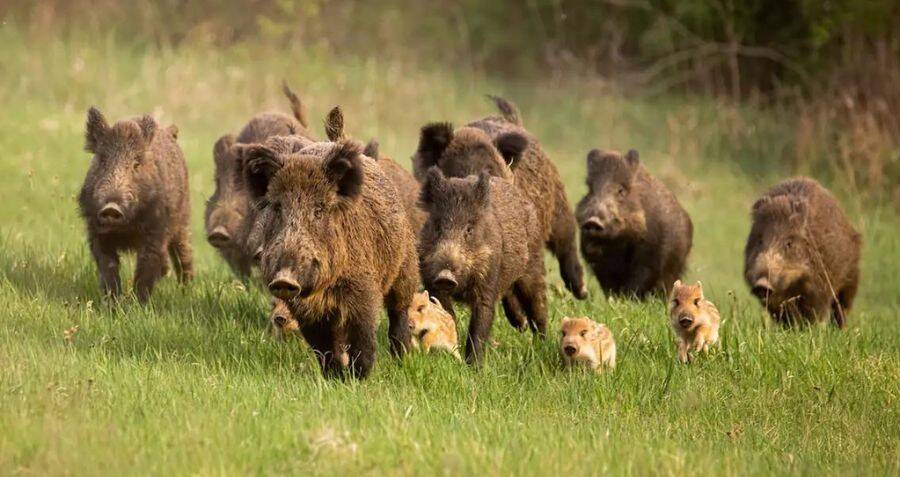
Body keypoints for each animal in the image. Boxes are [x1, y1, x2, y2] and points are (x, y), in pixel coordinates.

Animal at [78, 107, 193, 302]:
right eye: (103, 161)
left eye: (136, 164)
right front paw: (112, 304)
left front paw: (139, 305)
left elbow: (146, 268)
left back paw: (187, 290)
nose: (111, 208)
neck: (125, 230)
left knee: (184, 253)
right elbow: (108, 268)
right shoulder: (97, 233)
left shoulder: (156, 233)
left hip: (183, 221)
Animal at [242, 138, 419, 379]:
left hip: (405, 267)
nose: (284, 280)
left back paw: (402, 358)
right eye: (278, 208)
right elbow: (322, 346)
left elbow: (363, 337)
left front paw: (358, 377)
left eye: (319, 210)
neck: (324, 288)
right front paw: (334, 377)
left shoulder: (363, 290)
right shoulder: (306, 311)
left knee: (398, 312)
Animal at [418, 168, 547, 364]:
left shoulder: (487, 281)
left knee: (538, 304)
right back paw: (522, 326)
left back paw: (541, 343)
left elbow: (481, 321)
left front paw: (474, 366)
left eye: (469, 229)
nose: (445, 276)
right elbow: (446, 314)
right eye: (438, 227)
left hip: (533, 265)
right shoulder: (431, 281)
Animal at [575, 149, 693, 299]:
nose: (593, 221)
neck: (617, 241)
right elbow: (609, 286)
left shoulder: (650, 257)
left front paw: (626, 299)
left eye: (621, 190)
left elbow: (638, 282)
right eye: (590, 189)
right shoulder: (598, 262)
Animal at [744, 177, 861, 327]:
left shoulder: (820, 285)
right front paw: (789, 328)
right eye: (759, 240)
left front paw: (809, 328)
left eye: (789, 243)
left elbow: (814, 311)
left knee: (842, 307)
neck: (793, 285)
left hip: (851, 276)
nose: (762, 284)